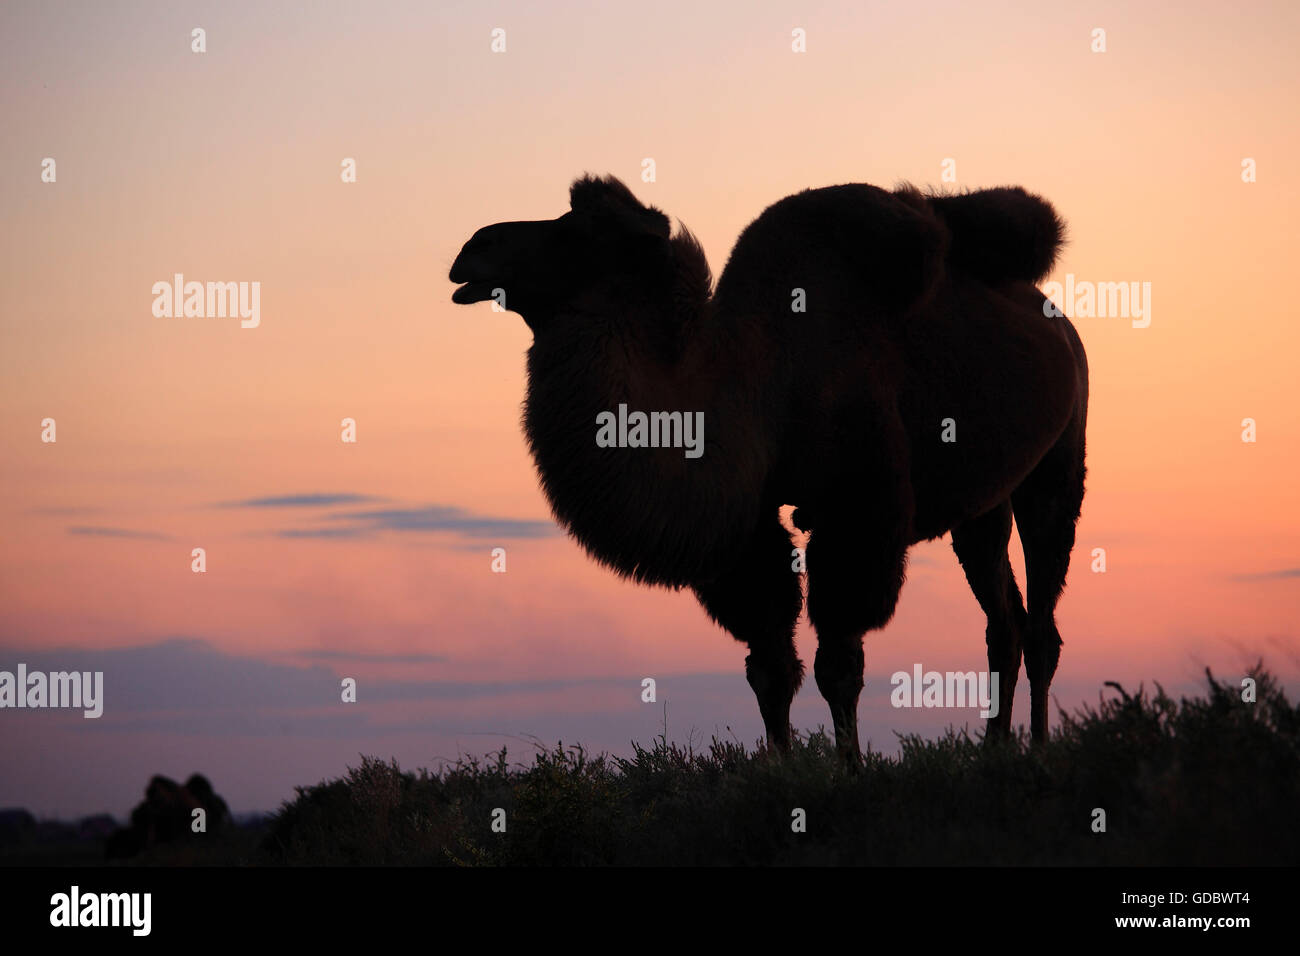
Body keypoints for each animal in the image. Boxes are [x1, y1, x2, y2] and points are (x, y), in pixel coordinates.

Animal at [449, 174, 1087, 762]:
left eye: (580, 234)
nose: (472, 249)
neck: (760, 382)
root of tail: (1059, 322)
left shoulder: (857, 510)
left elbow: (838, 662)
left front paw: (851, 771)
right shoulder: (749, 530)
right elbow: (770, 665)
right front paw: (781, 771)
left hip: (1059, 467)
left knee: (1042, 618)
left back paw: (1037, 749)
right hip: (982, 504)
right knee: (1003, 619)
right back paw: (995, 747)